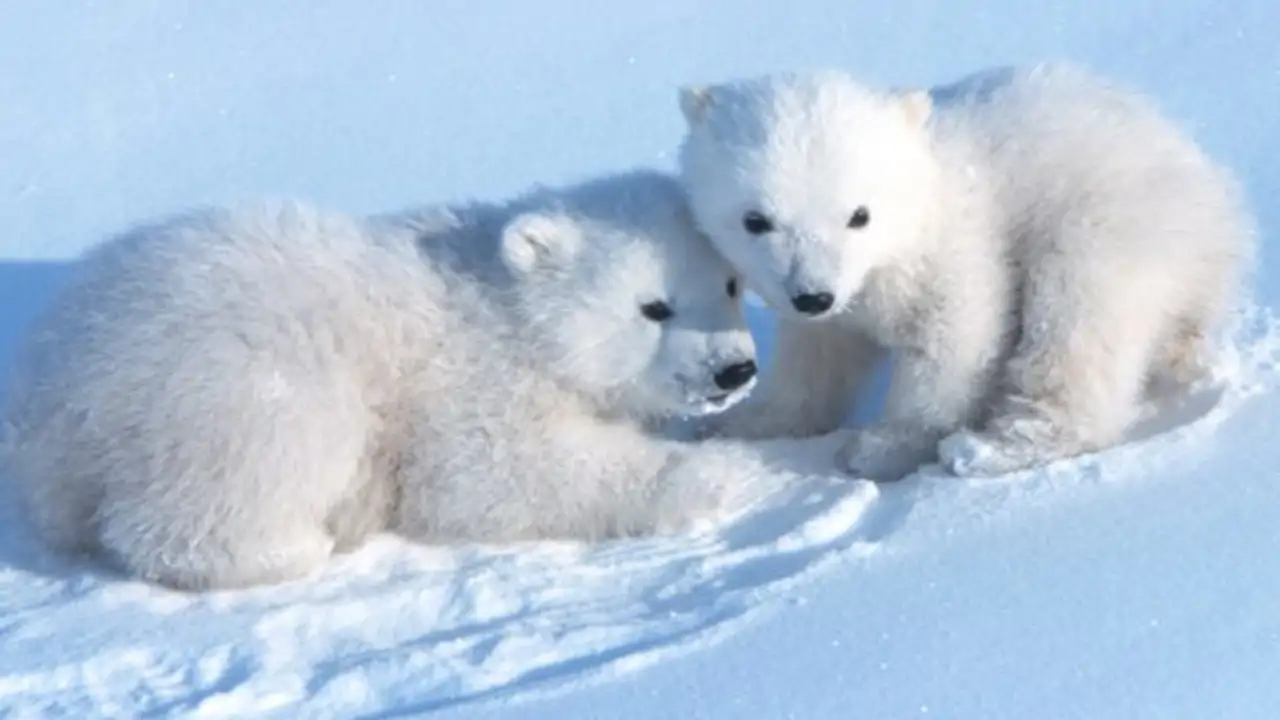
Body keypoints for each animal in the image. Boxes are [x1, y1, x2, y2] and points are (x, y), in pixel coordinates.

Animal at [0, 169, 802, 591]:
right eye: (654, 305)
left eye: (730, 282)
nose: (734, 368)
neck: (503, 299)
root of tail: (46, 385)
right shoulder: (470, 381)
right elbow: (488, 474)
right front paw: (715, 475)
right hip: (231, 380)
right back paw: (294, 547)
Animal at [673, 62, 1255, 480]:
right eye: (756, 220)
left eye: (859, 215)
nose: (813, 295)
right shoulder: (835, 304)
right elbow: (816, 362)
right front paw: (737, 423)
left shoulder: (959, 246)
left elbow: (954, 342)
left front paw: (883, 448)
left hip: (1119, 224)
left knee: (1079, 320)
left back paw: (989, 447)